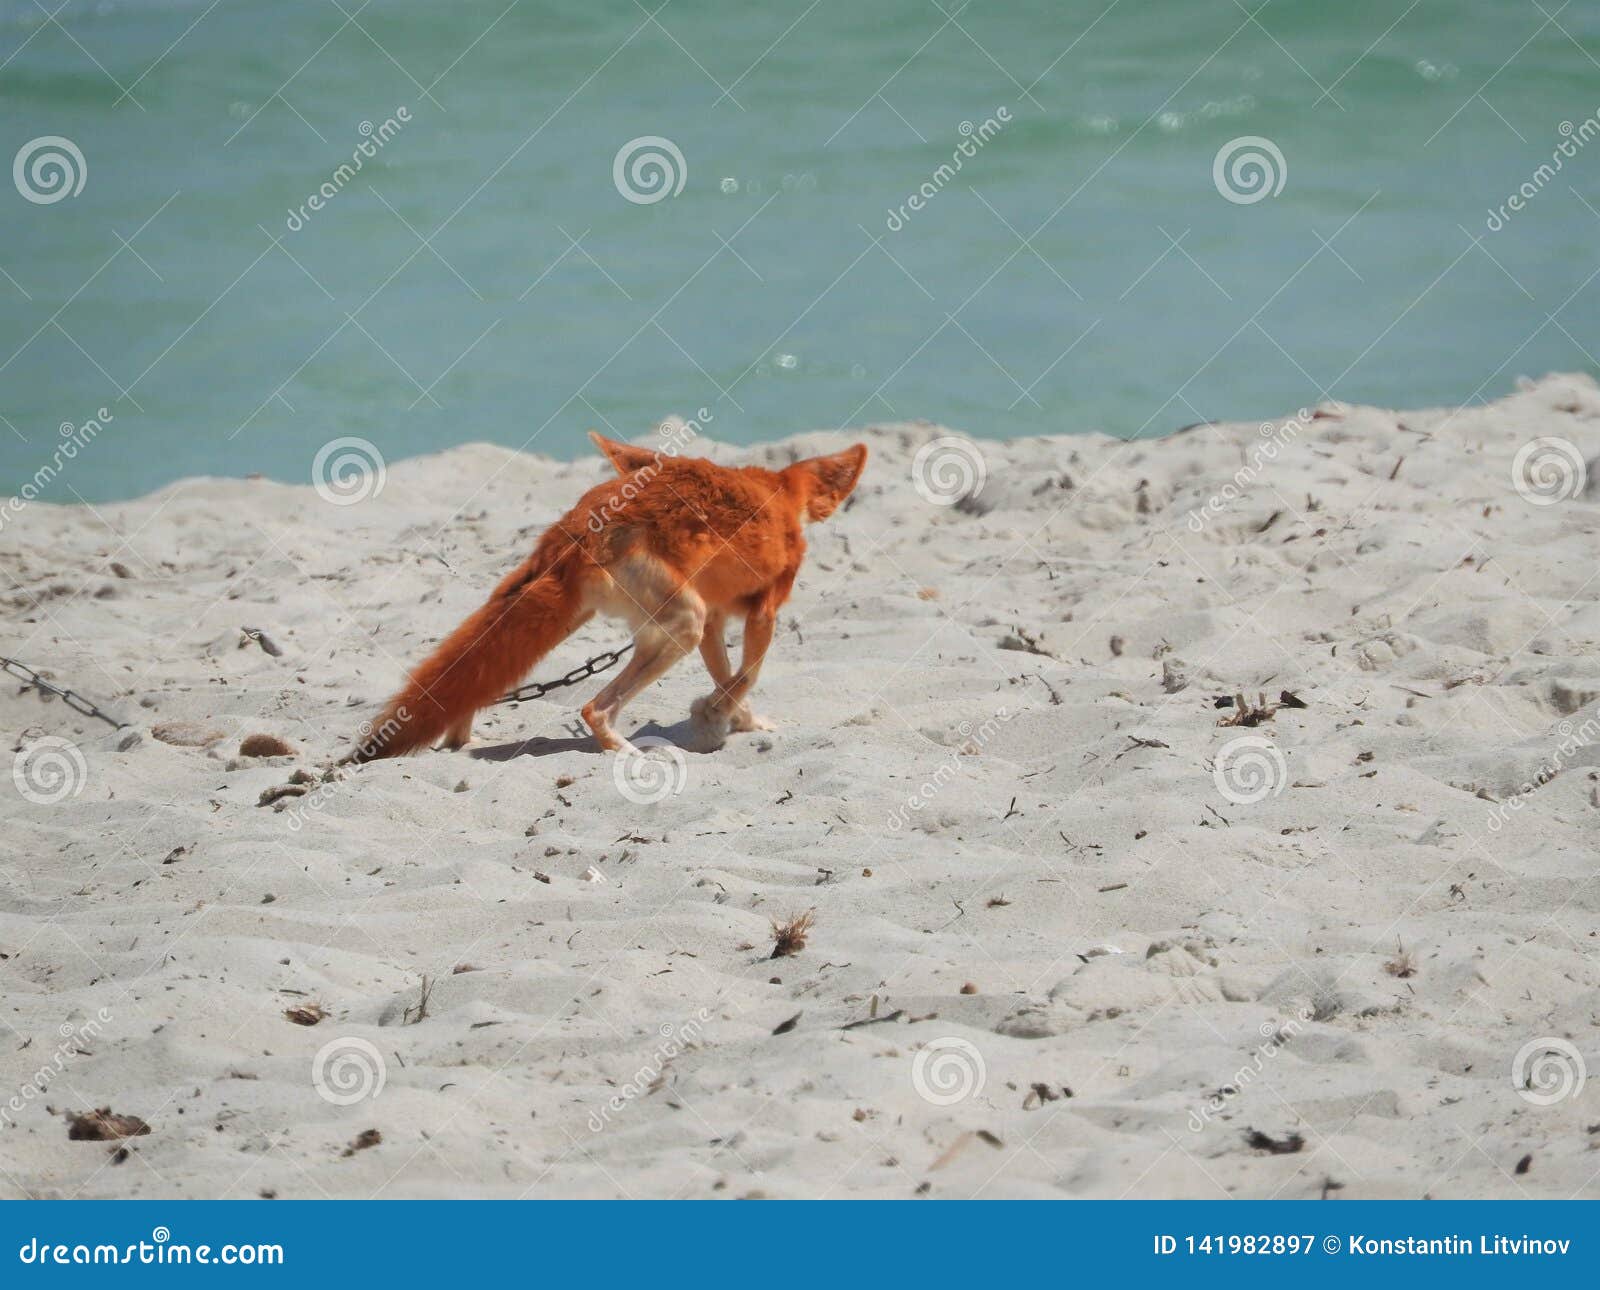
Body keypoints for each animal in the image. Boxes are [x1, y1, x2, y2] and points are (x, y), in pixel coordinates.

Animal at [348, 432, 867, 761]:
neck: (780, 495)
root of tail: (576, 529)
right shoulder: (762, 613)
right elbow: (745, 677)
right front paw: (719, 715)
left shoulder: (717, 623)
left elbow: (728, 679)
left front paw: (735, 721)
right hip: (682, 621)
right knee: (594, 708)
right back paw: (621, 748)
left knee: (467, 687)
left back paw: (460, 740)